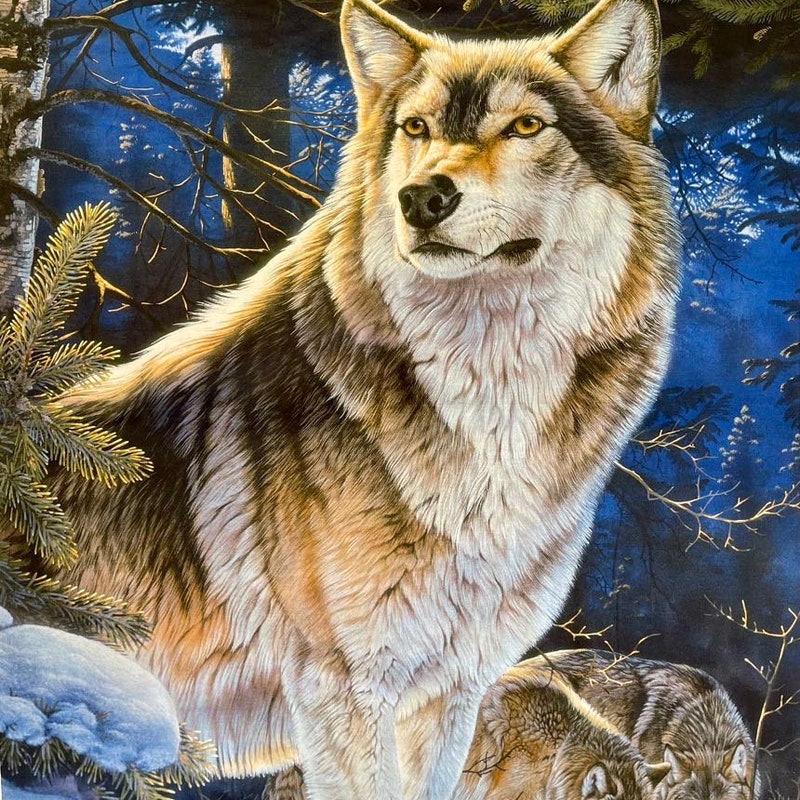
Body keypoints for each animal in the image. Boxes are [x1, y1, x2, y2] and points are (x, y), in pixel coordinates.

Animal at [47, 0, 680, 796]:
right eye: (416, 128)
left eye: (526, 127)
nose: (423, 198)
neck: (485, 410)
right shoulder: (346, 686)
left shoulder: (448, 693)